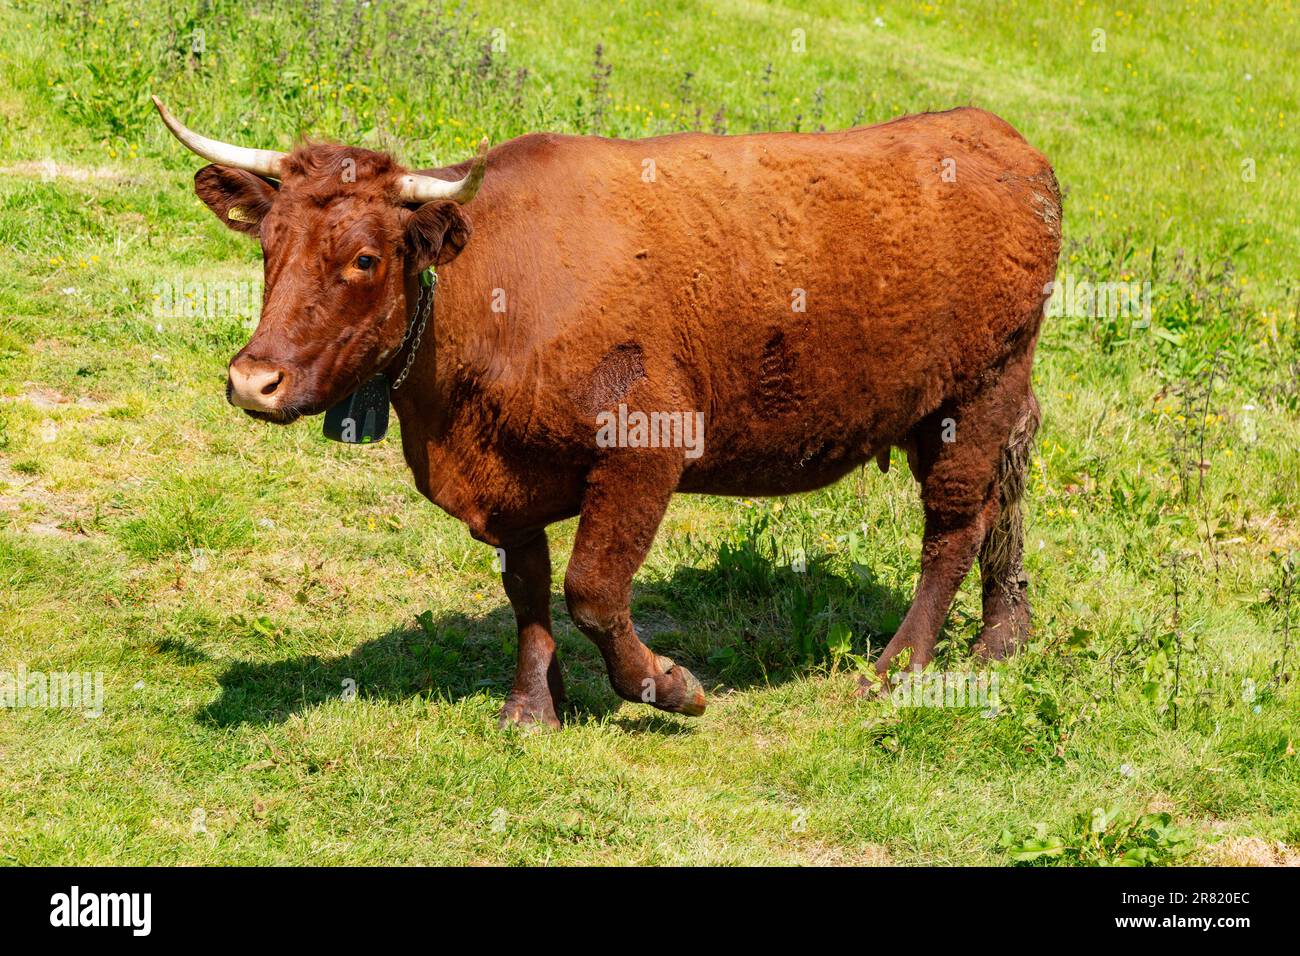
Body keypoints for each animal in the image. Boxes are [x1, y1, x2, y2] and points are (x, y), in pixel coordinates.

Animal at [152, 96, 1061, 729]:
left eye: (366, 259)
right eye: (268, 244)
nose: (253, 380)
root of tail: (997, 137)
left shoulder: (645, 447)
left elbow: (590, 588)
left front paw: (669, 686)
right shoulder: (507, 479)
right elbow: (527, 590)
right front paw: (532, 707)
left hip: (978, 390)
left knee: (956, 524)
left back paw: (896, 668)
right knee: (1005, 491)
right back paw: (1002, 637)